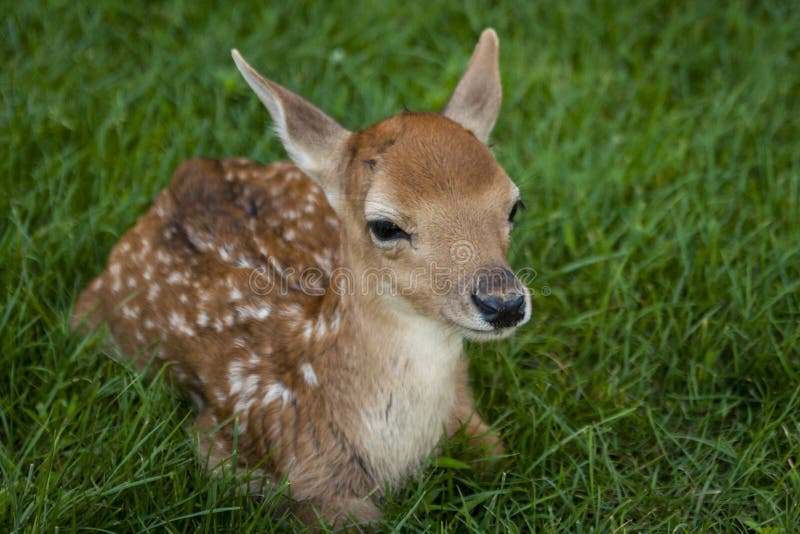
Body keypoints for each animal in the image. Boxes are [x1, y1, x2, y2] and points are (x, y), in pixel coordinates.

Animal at [72, 28, 531, 528]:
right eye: (386, 226)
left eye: (514, 206)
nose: (503, 301)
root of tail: (189, 171)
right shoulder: (224, 451)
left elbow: (500, 456)